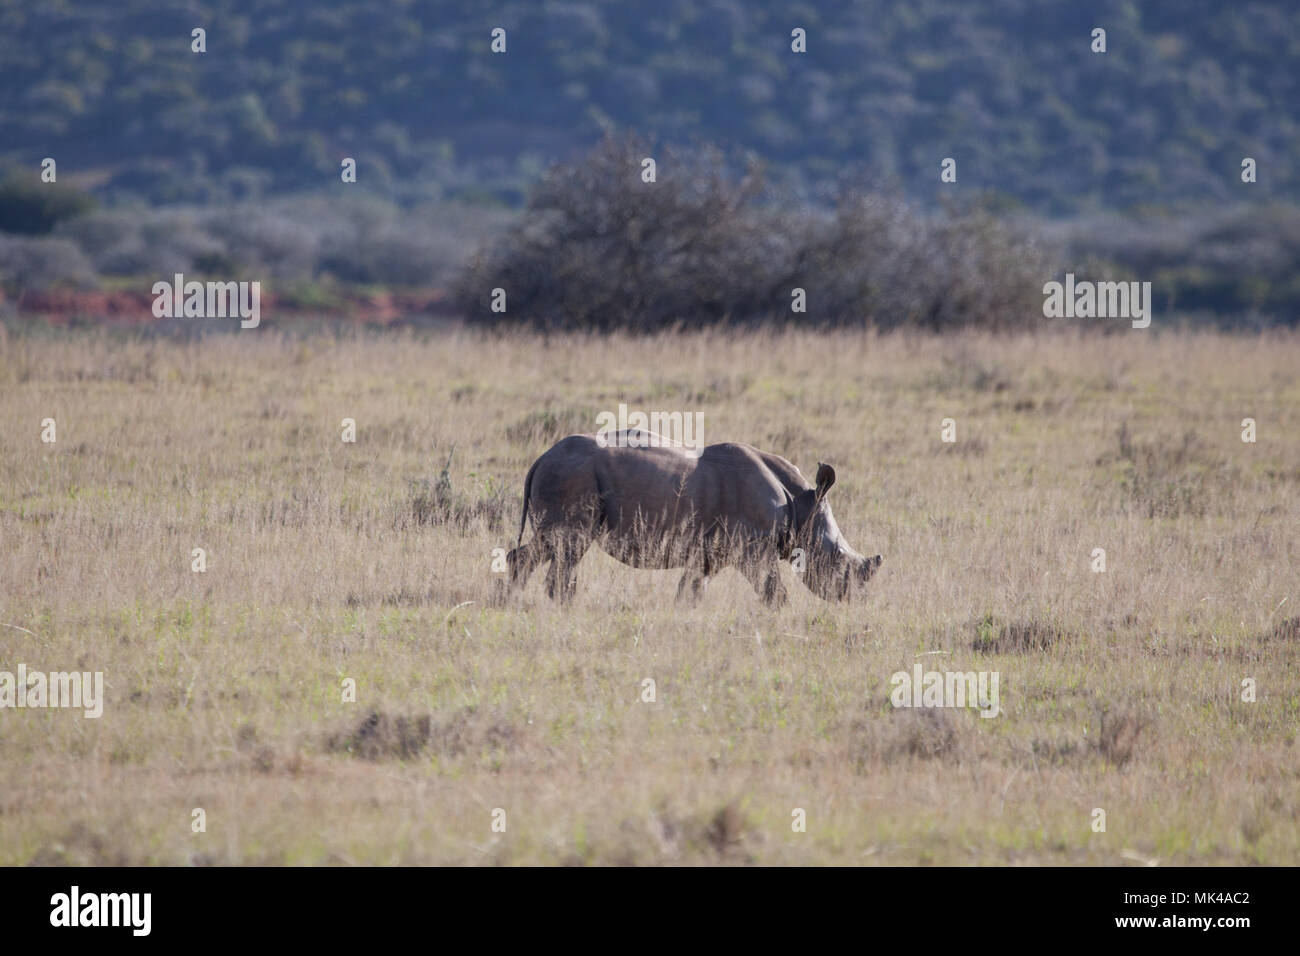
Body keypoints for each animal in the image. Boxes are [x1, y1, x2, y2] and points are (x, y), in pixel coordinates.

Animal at [506, 430, 882, 605]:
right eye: (839, 561)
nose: (858, 601)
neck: (802, 506)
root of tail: (540, 459)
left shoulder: (709, 554)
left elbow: (690, 590)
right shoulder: (753, 551)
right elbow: (774, 592)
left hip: (565, 475)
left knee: (544, 547)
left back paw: (509, 602)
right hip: (573, 477)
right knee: (569, 549)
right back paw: (566, 607)